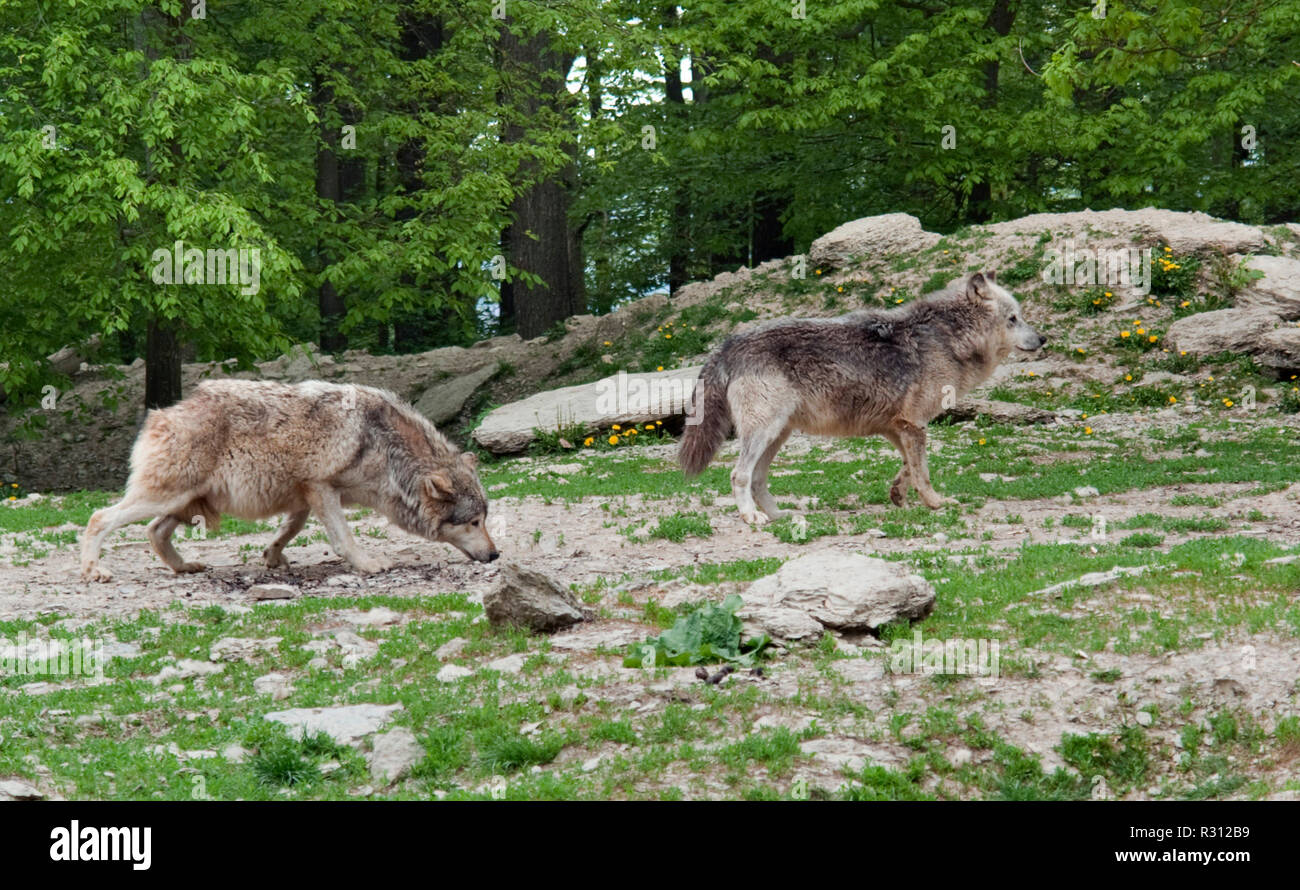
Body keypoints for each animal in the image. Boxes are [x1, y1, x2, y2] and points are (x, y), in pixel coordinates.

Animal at [81, 379, 498, 581]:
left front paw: (272, 557)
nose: (496, 555)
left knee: (153, 532)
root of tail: (162, 413)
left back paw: (184, 567)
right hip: (165, 497)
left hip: (183, 504)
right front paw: (367, 564)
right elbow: (344, 539)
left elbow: (290, 530)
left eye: (484, 520)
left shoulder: (305, 493)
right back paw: (94, 571)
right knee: (99, 518)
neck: (384, 445)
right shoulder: (322, 487)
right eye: (474, 522)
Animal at [679, 271, 1046, 524]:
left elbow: (909, 468)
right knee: (739, 475)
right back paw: (751, 517)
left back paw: (780, 515)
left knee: (757, 478)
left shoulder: (900, 427)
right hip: (764, 432)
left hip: (777, 435)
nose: (1042, 339)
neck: (948, 339)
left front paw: (899, 495)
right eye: (1013, 319)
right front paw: (936, 503)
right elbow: (923, 472)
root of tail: (728, 343)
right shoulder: (912, 424)